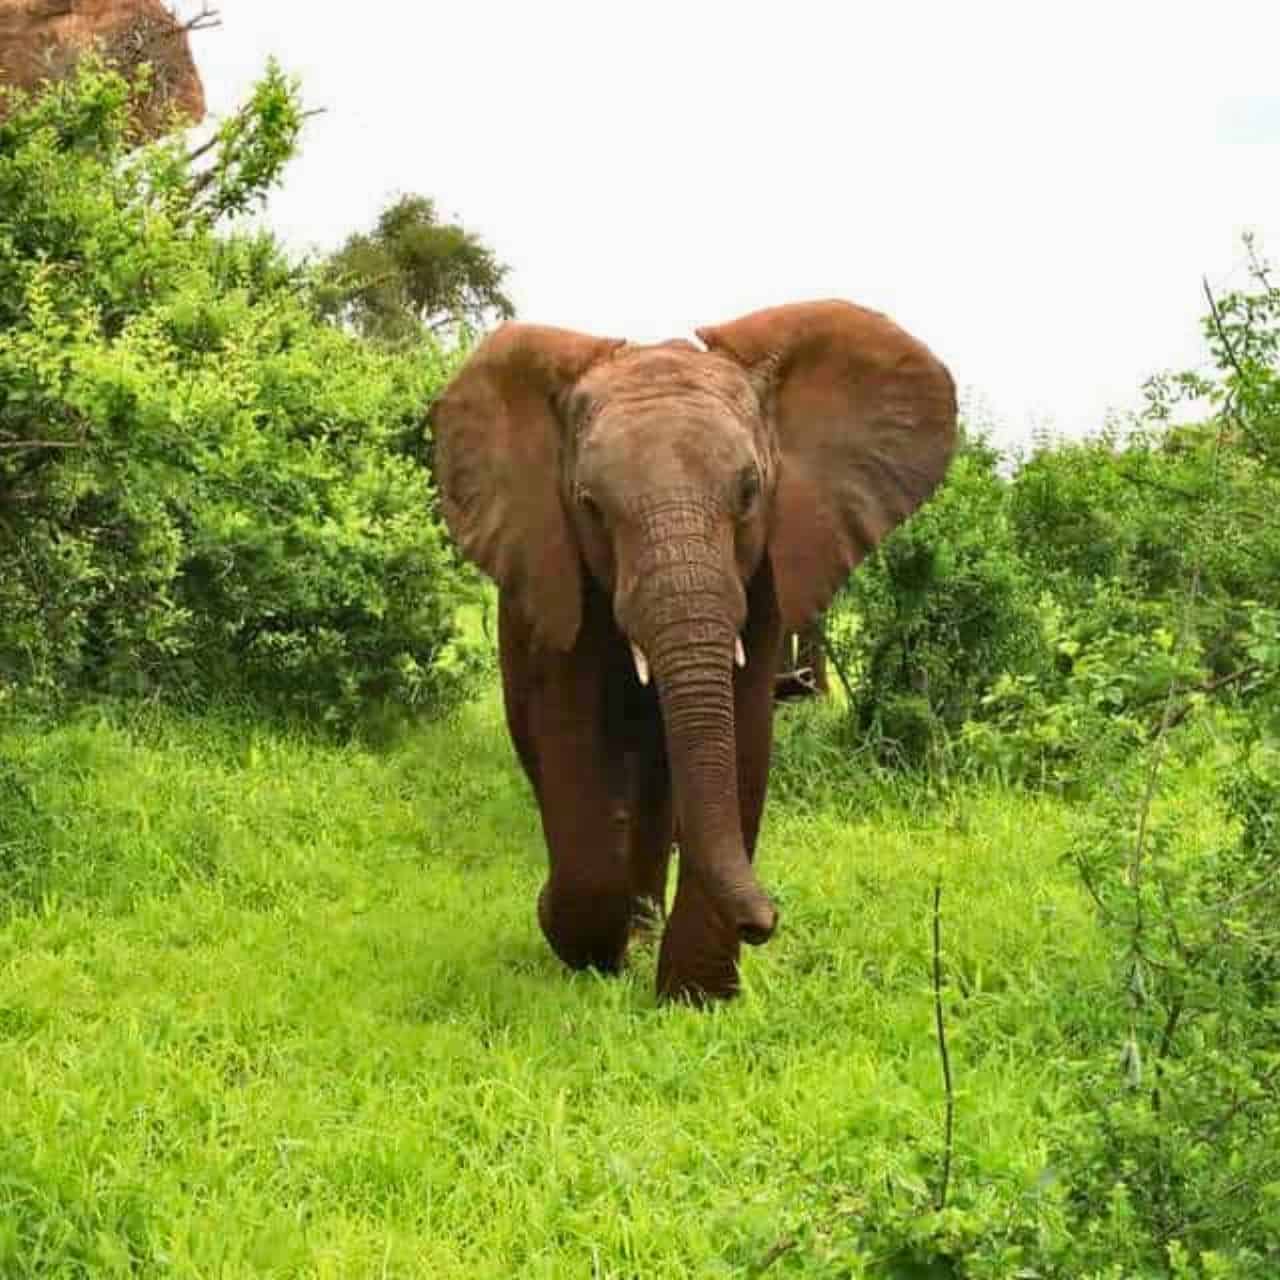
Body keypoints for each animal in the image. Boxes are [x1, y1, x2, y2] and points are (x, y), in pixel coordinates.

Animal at [430, 300, 957, 1003]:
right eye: (589, 506)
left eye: (750, 491)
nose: (767, 921)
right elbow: (569, 731)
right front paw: (579, 940)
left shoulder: (767, 571)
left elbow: (742, 732)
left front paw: (692, 997)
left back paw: (644, 926)